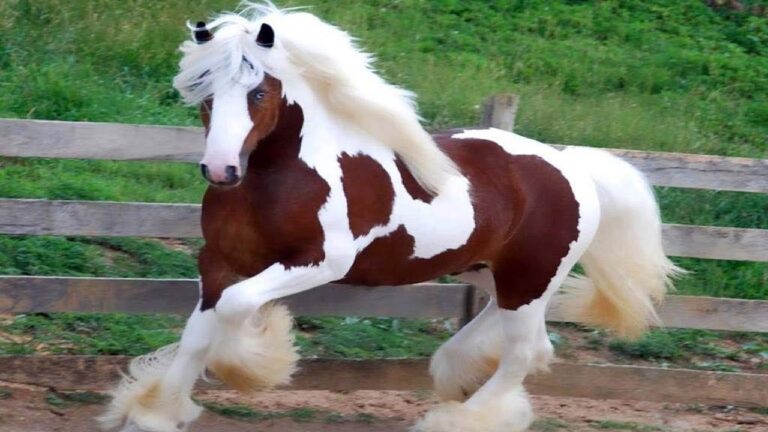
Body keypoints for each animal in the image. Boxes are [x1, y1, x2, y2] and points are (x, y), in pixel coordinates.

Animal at [100, 3, 680, 432]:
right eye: (204, 91)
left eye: (258, 91)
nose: (220, 170)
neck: (283, 178)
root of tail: (571, 165)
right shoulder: (220, 261)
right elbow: (200, 331)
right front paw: (154, 414)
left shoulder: (320, 262)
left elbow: (236, 309)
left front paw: (255, 360)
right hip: (493, 275)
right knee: (524, 343)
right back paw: (457, 376)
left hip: (530, 279)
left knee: (523, 354)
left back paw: (461, 418)